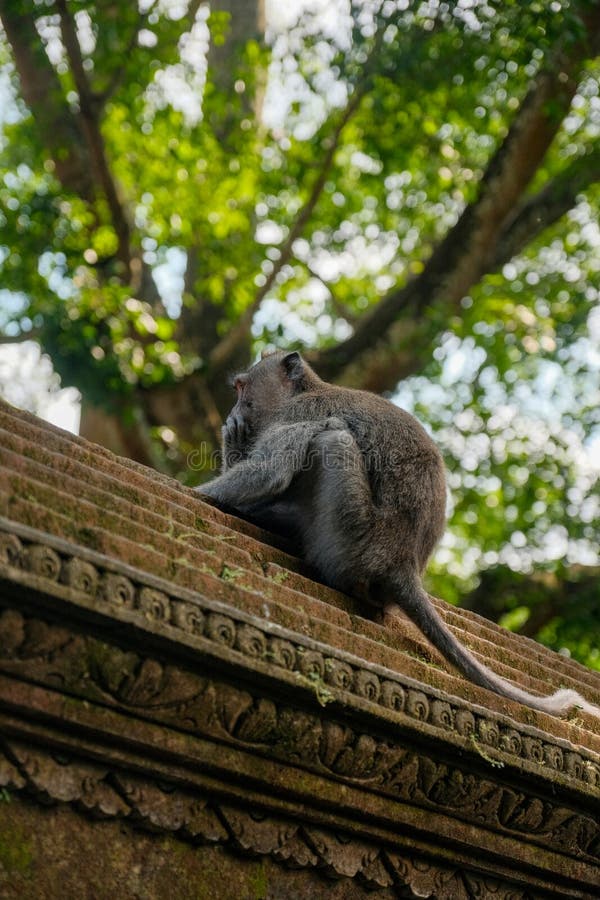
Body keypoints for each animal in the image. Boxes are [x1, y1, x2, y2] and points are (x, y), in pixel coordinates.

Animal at [198, 350, 600, 718]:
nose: (234, 411)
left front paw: (206, 486)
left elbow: (270, 471)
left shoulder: (294, 418)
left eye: (241, 388)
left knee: (333, 438)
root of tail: (402, 564)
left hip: (351, 533)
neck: (304, 391)